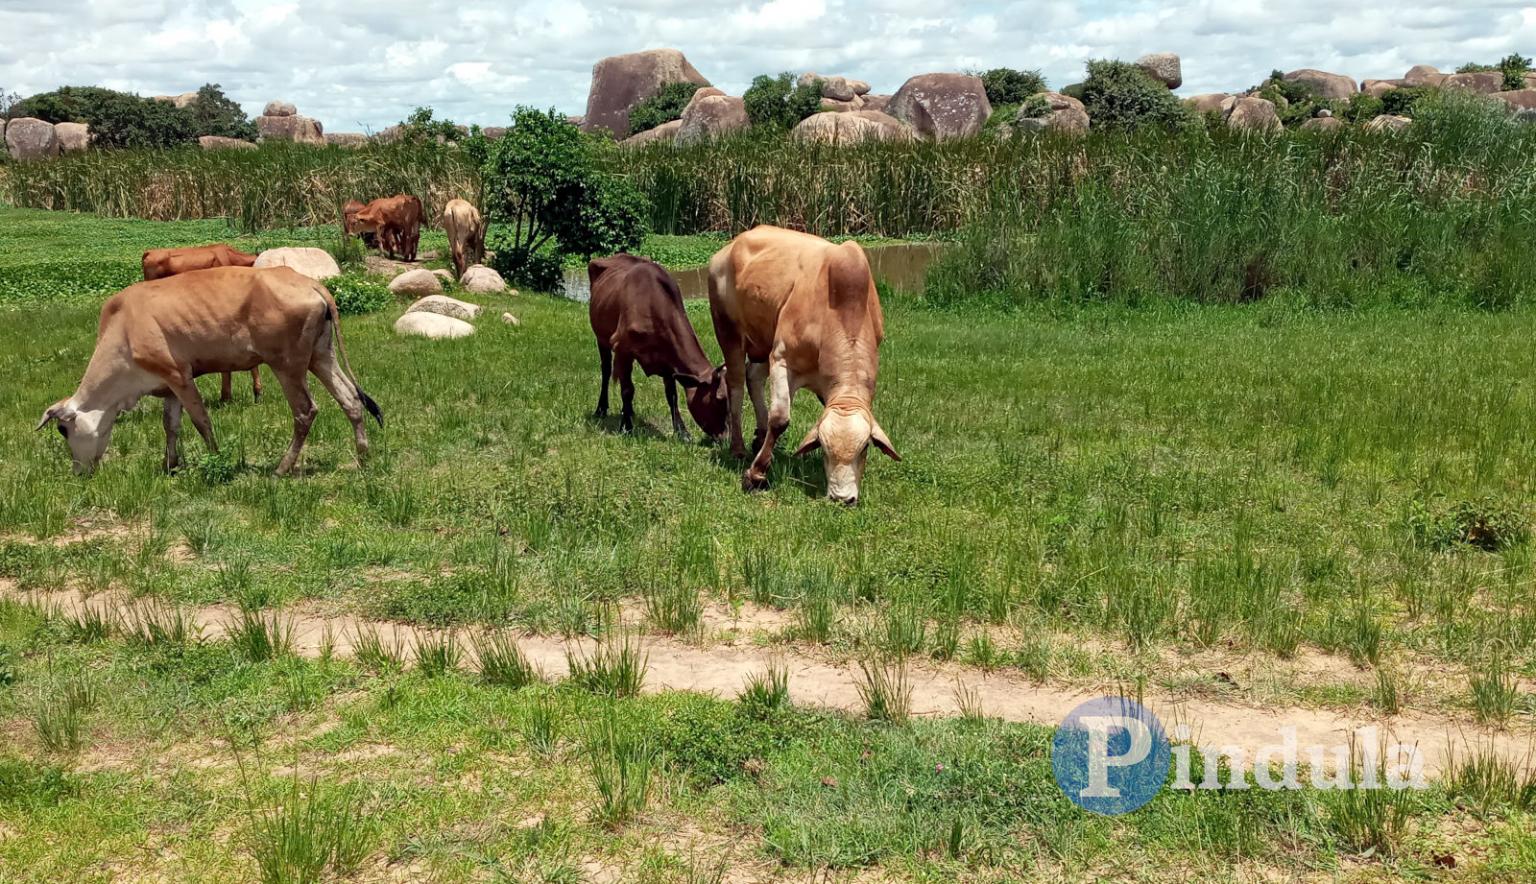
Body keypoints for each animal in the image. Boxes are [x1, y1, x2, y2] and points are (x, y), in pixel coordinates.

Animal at [37, 266, 382, 477]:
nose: (79, 471)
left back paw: (282, 468)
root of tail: (308, 282)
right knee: (351, 399)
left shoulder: (179, 375)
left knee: (305, 411)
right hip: (320, 356)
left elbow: (201, 420)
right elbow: (170, 425)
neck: (123, 330)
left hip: (287, 365)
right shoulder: (167, 385)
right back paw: (363, 456)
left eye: (63, 429)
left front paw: (216, 459)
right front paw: (170, 465)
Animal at [589, 254, 727, 441]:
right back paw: (602, 409)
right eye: (719, 399)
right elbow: (627, 390)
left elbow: (672, 394)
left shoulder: (668, 357)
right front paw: (626, 427)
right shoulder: (623, 349)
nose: (726, 437)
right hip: (601, 338)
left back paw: (628, 410)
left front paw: (682, 431)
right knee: (606, 371)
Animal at [707, 226, 899, 505]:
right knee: (736, 384)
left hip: (764, 343)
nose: (842, 499)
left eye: (864, 448)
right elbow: (780, 419)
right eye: (825, 448)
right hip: (728, 331)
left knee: (753, 376)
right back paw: (738, 447)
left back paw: (759, 436)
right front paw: (756, 475)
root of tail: (729, 247)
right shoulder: (782, 358)